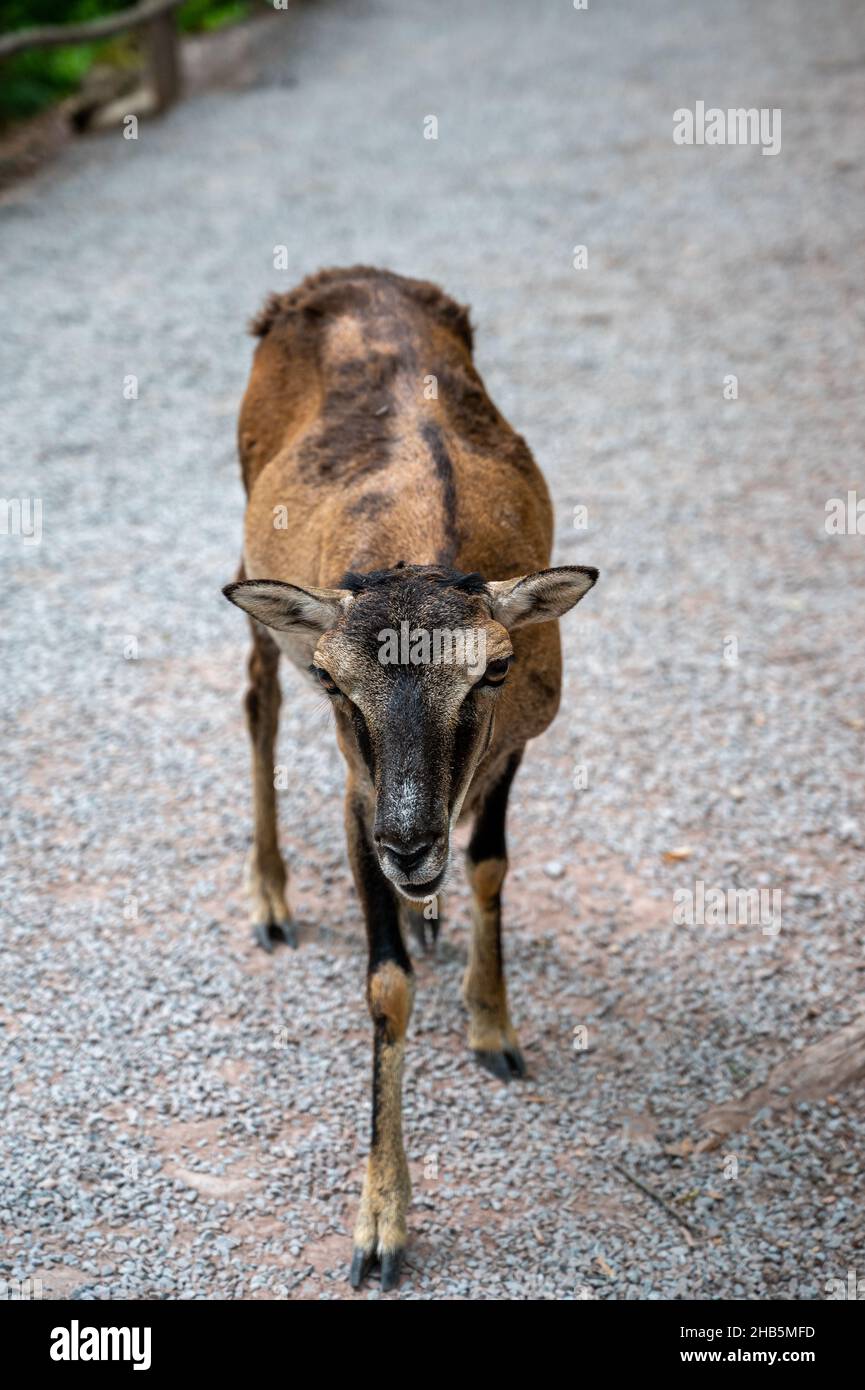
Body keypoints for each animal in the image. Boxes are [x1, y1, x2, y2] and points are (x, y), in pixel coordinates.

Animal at [222, 266, 598, 1291]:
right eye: (334, 681)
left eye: (496, 670)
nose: (405, 840)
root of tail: (342, 276)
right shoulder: (356, 788)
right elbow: (384, 986)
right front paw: (380, 1231)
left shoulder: (517, 743)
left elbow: (491, 863)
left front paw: (494, 1030)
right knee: (255, 695)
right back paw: (271, 897)